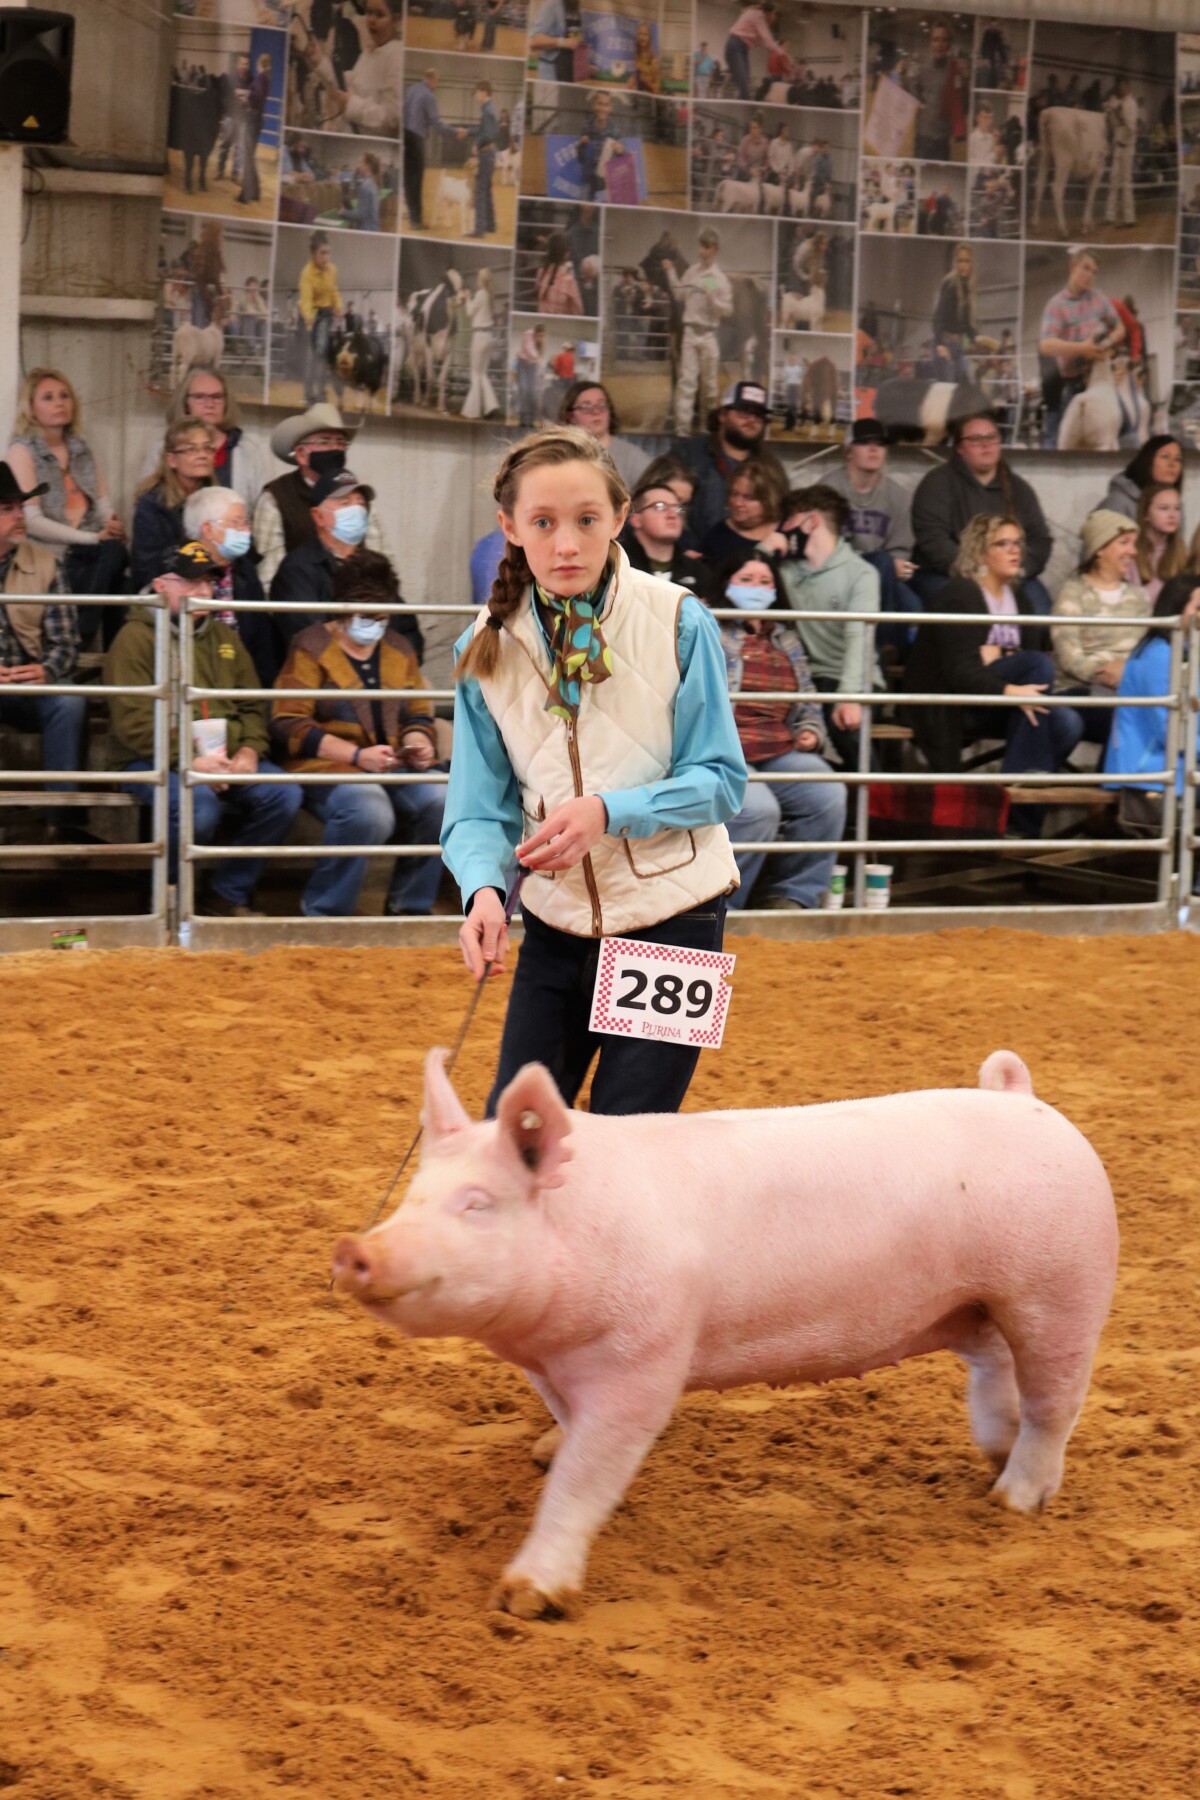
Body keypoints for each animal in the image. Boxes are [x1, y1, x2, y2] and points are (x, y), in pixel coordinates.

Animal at [331, 1048, 1118, 1622]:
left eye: (478, 1204)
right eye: (414, 1196)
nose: (355, 1249)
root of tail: (1023, 1099)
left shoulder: (644, 1356)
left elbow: (588, 1474)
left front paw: (525, 1598)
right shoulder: (550, 1367)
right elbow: (567, 1438)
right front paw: (544, 1454)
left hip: (1062, 1286)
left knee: (1055, 1401)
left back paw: (1012, 1500)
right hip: (972, 1303)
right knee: (995, 1365)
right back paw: (993, 1454)